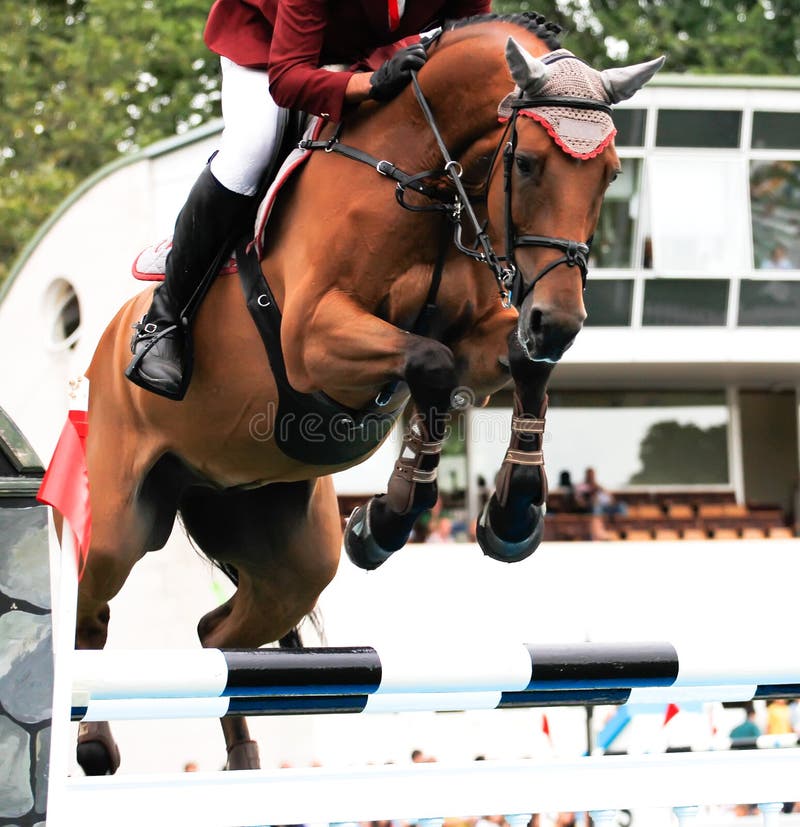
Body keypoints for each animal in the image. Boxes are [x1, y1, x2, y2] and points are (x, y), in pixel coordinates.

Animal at [71, 13, 663, 773]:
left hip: (287, 554)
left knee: (215, 635)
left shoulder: (485, 333)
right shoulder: (313, 340)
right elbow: (431, 364)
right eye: (528, 162)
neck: (425, 181)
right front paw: (388, 517)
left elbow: (506, 366)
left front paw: (508, 514)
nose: (559, 322)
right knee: (91, 606)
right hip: (121, 520)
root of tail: (105, 345)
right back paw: (93, 743)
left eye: (612, 174)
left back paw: (243, 756)